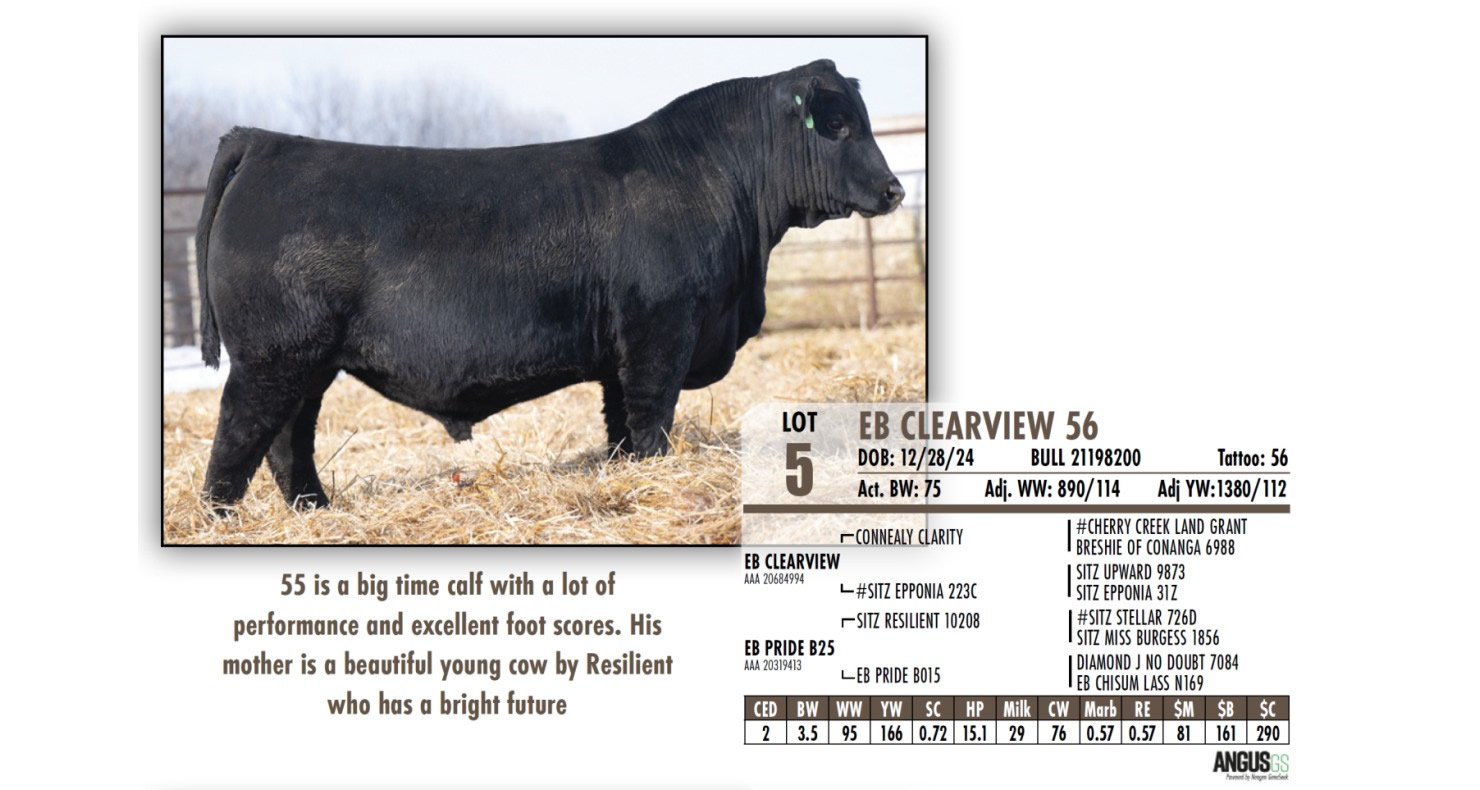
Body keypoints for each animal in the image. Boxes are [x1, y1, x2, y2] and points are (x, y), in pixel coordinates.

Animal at [193, 59, 904, 512]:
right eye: (837, 125)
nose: (896, 189)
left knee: (288, 440)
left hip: (305, 363)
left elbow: (621, 426)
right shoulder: (660, 329)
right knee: (239, 437)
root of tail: (264, 141)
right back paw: (221, 519)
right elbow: (652, 416)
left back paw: (316, 511)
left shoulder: (621, 349)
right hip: (273, 357)